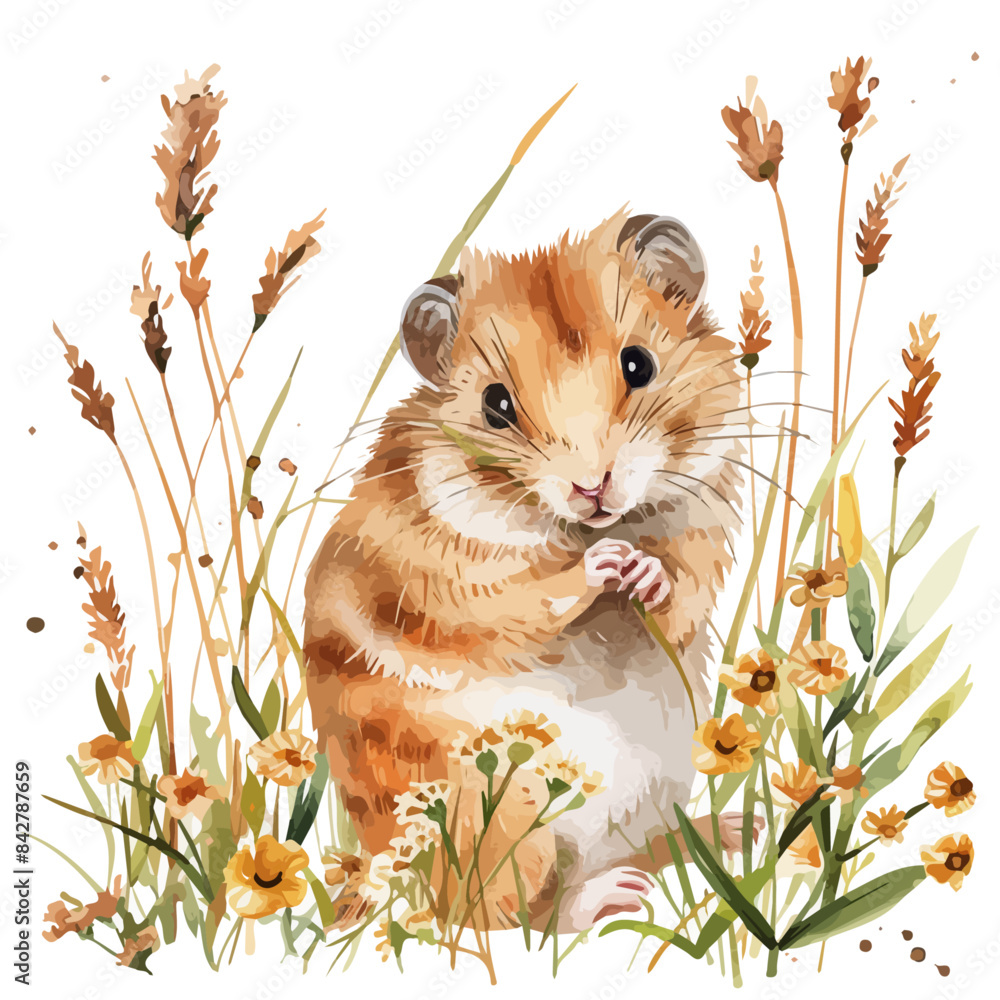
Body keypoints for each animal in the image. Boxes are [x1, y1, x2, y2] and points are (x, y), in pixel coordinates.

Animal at [304, 208, 744, 930]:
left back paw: (732, 831)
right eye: (496, 404)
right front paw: (605, 564)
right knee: (500, 915)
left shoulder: (703, 524)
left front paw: (644, 575)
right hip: (503, 814)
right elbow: (523, 596)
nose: (592, 488)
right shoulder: (445, 577)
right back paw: (611, 897)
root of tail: (373, 868)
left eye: (639, 363)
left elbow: (681, 594)